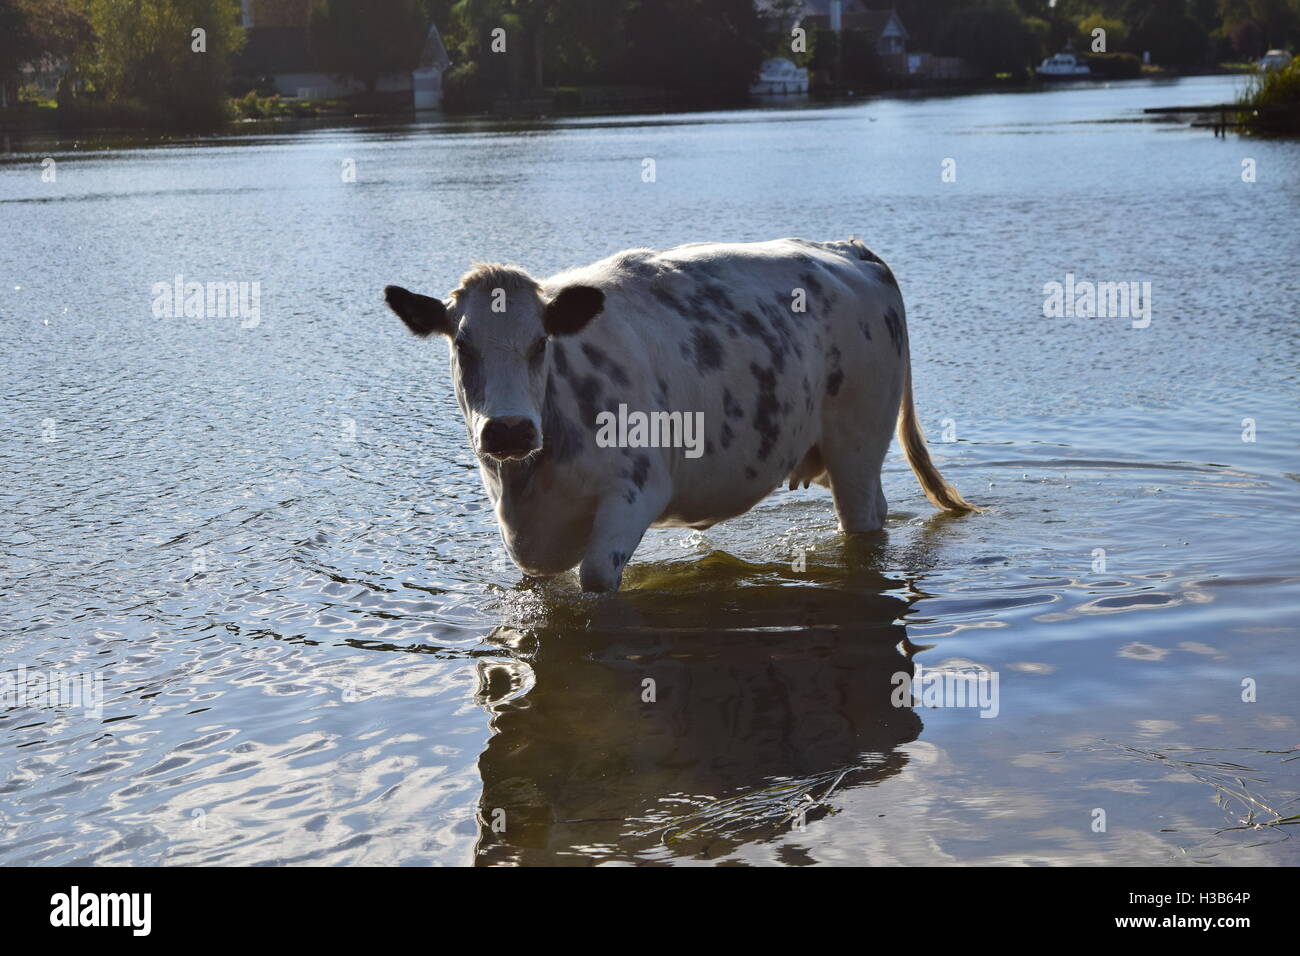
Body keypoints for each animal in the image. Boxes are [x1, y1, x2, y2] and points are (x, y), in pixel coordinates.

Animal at [384, 238, 976, 592]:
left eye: (540, 343)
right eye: (463, 346)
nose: (508, 429)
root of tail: (848, 249)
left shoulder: (635, 491)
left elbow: (596, 579)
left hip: (857, 447)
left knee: (864, 523)